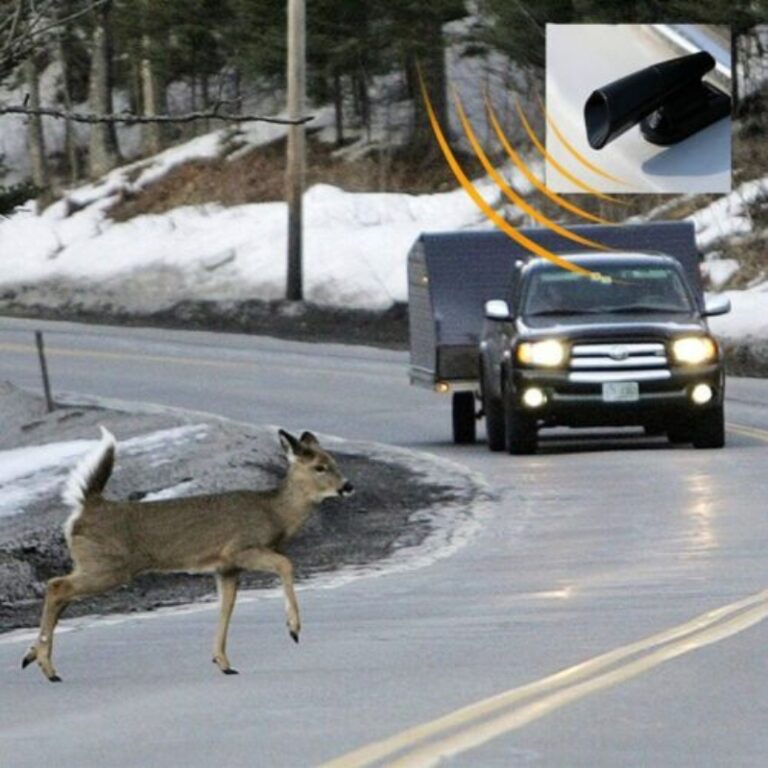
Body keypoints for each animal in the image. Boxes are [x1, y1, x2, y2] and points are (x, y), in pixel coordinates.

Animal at [21, 426, 354, 682]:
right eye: (319, 466)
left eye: (334, 461)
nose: (348, 485)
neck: (275, 514)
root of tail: (87, 507)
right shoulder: (239, 548)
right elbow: (286, 563)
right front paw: (293, 628)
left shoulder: (226, 568)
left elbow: (226, 607)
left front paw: (223, 662)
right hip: (109, 565)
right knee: (57, 586)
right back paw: (47, 667)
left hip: (93, 564)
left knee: (62, 593)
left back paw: (32, 656)